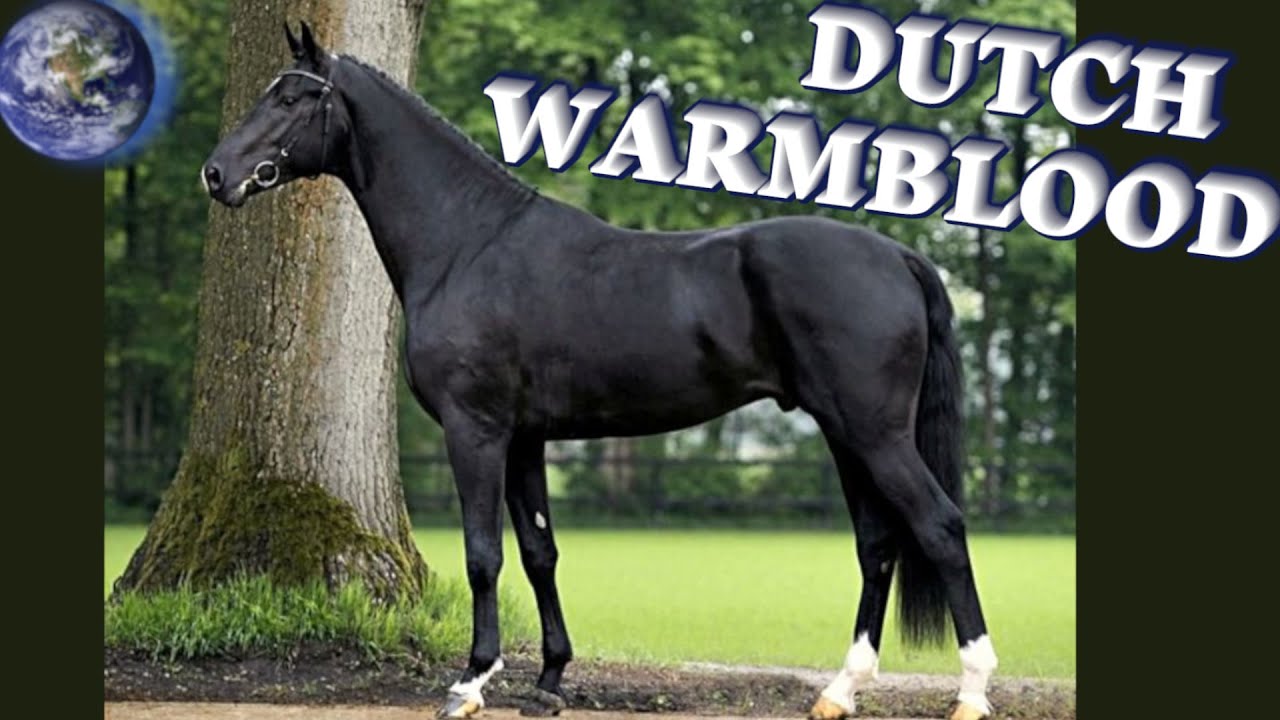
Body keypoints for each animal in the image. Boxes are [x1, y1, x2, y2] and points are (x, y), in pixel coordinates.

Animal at [202, 22, 998, 720]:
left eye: (290, 98)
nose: (218, 174)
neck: (467, 242)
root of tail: (896, 255)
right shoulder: (525, 439)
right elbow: (539, 552)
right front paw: (550, 680)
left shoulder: (476, 430)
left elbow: (484, 555)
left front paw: (470, 683)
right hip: (843, 433)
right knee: (878, 543)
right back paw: (839, 691)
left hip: (874, 434)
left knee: (939, 527)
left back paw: (971, 693)